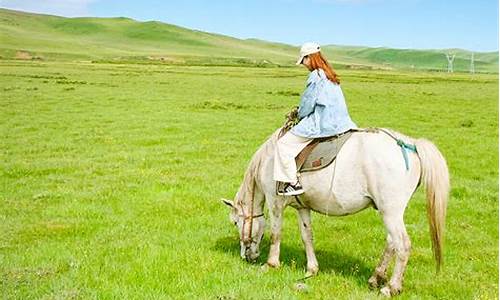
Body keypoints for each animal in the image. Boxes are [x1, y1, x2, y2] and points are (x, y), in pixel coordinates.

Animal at [222, 126, 450, 296]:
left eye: (236, 222)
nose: (246, 256)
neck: (270, 160)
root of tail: (410, 145)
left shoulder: (275, 202)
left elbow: (275, 234)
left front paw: (270, 264)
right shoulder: (302, 207)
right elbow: (307, 236)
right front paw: (312, 269)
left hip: (390, 212)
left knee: (402, 245)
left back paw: (391, 288)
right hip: (392, 213)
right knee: (391, 243)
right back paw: (376, 278)